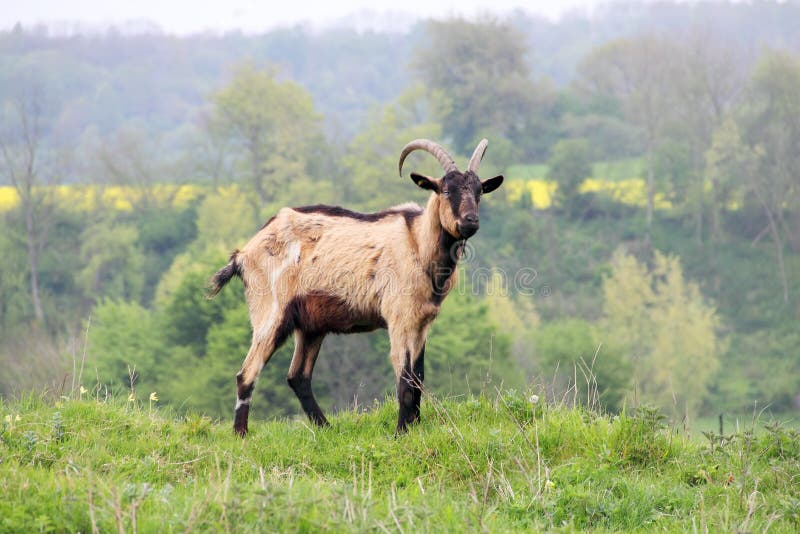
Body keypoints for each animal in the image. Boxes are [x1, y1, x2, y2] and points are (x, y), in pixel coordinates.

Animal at [208, 139, 504, 436]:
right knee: (247, 373)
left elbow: (418, 377)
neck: (418, 243)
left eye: (479, 191)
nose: (470, 221)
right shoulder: (399, 318)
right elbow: (405, 381)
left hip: (311, 326)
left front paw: (416, 427)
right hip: (271, 312)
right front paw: (401, 432)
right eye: (445, 190)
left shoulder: (422, 322)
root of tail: (243, 254)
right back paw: (241, 434)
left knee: (298, 376)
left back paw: (326, 428)